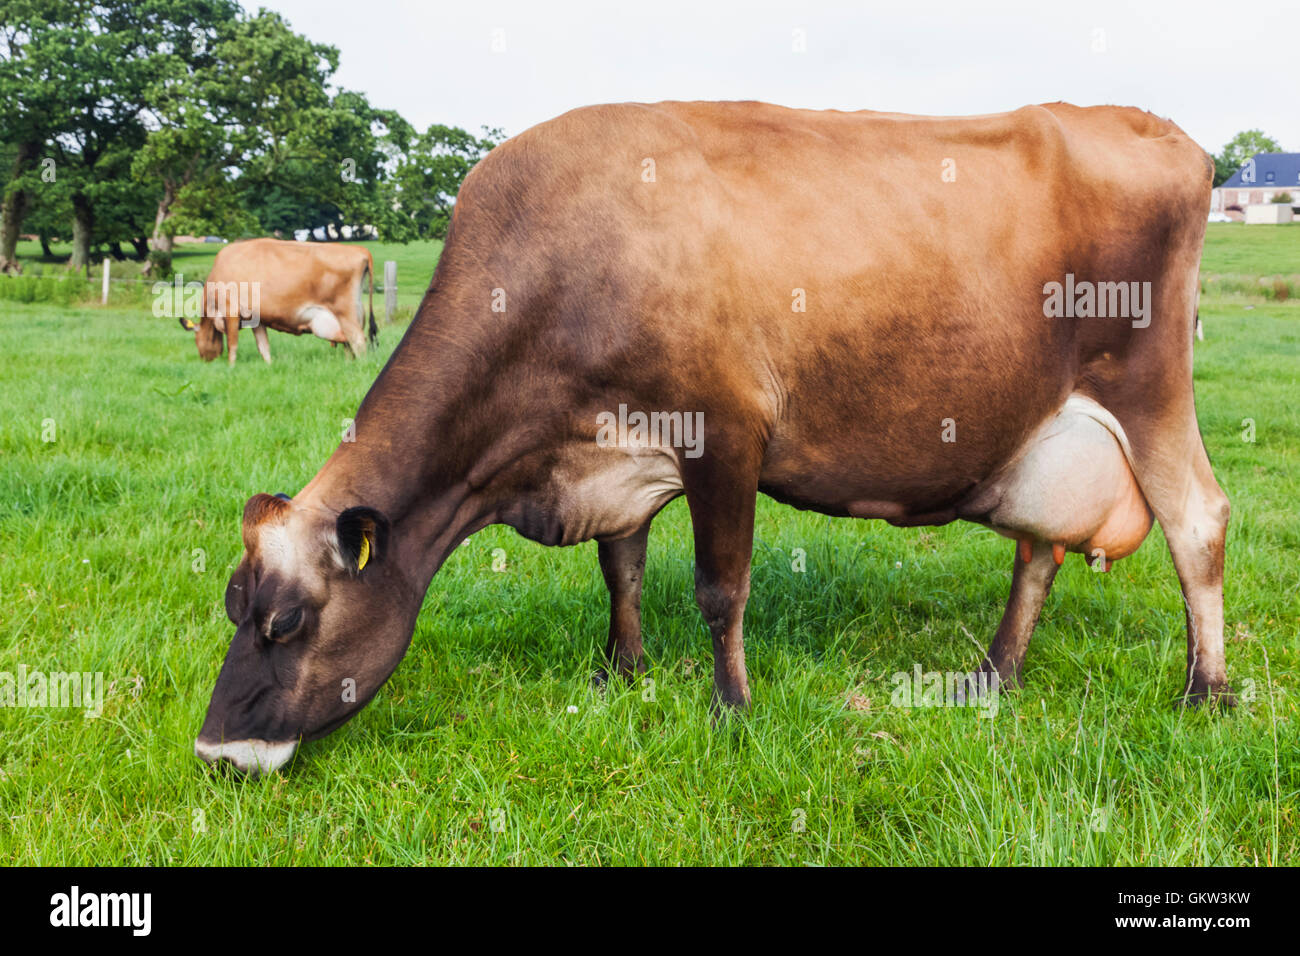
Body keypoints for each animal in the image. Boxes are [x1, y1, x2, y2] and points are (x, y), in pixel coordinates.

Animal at [178, 238, 378, 364]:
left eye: (196, 340)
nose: (204, 360)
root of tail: (359, 249)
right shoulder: (256, 318)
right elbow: (263, 346)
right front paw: (269, 365)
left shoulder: (231, 311)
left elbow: (232, 345)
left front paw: (231, 367)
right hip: (354, 313)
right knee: (349, 344)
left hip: (345, 313)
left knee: (358, 341)